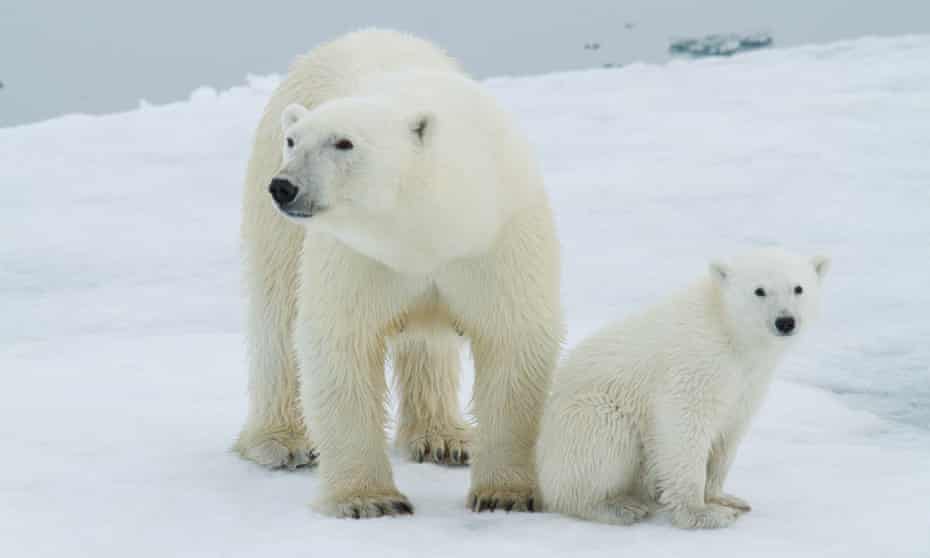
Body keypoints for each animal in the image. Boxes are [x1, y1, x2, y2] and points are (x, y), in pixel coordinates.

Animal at [234, 29, 563, 519]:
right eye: (294, 140)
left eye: (344, 142)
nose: (285, 186)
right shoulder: (358, 255)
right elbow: (341, 342)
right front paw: (368, 499)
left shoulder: (496, 238)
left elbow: (513, 339)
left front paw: (504, 493)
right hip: (275, 216)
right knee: (277, 312)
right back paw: (281, 442)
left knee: (428, 348)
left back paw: (444, 438)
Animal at [536, 248, 830, 529]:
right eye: (759, 290)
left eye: (798, 288)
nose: (786, 321)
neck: (729, 332)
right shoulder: (695, 365)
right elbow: (685, 428)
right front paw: (703, 513)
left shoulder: (748, 383)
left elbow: (729, 433)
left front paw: (726, 499)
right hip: (586, 415)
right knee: (603, 438)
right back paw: (617, 507)